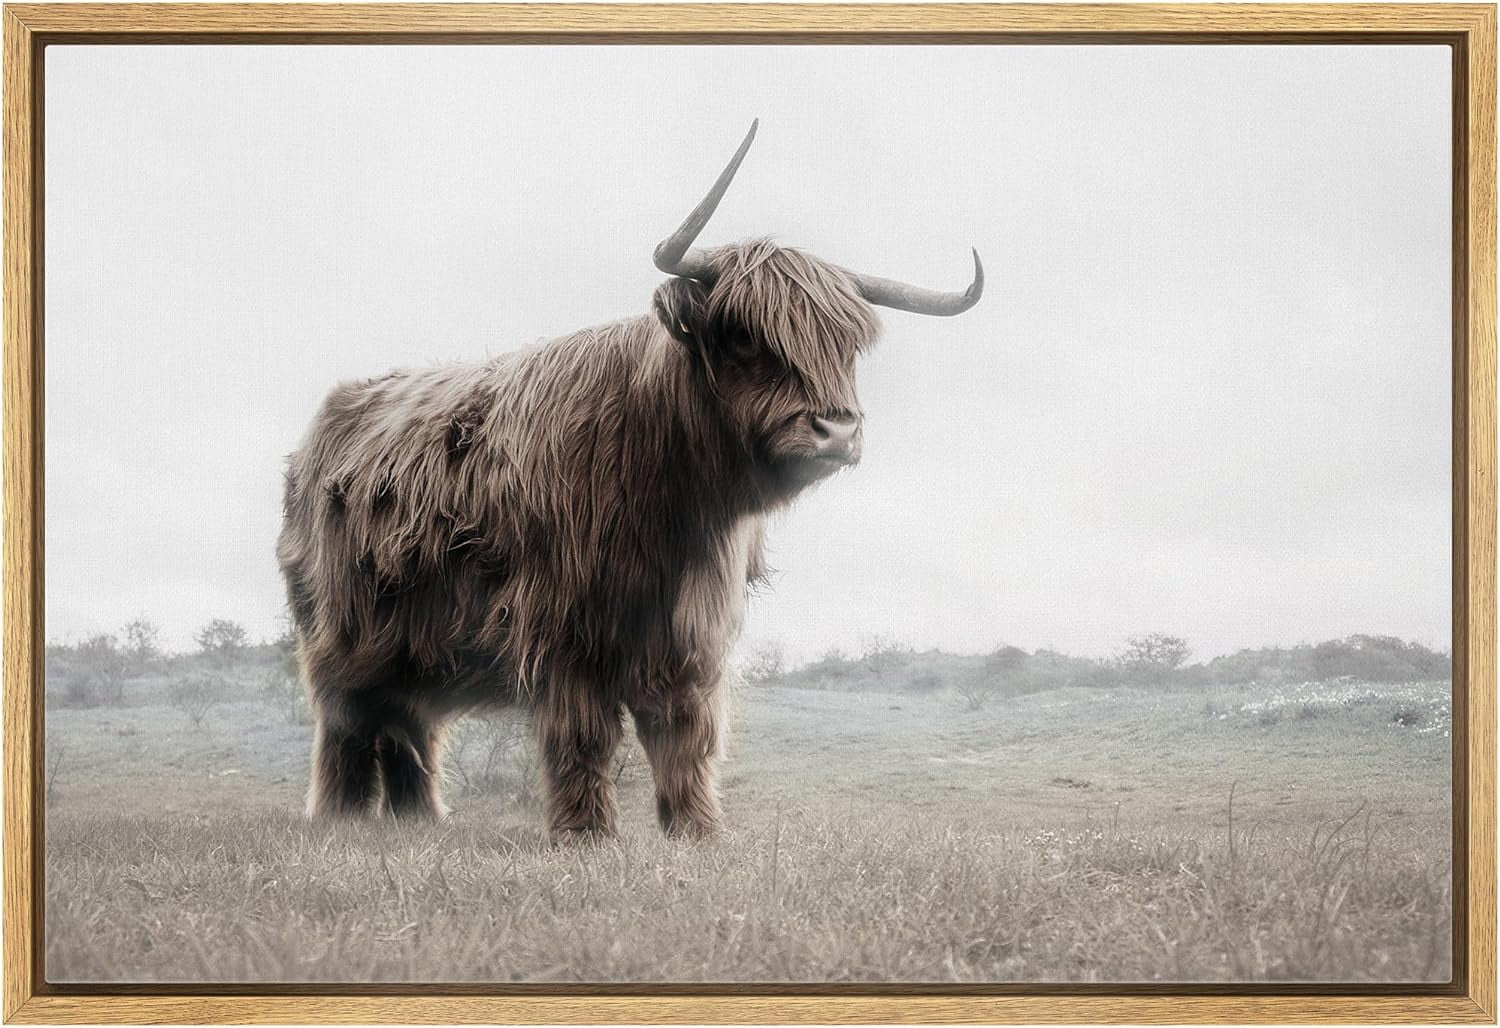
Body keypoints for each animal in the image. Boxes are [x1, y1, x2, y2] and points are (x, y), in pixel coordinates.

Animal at [276, 121, 984, 839]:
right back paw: (341, 819)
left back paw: (418, 820)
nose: (837, 432)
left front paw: (697, 831)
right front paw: (586, 834)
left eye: (847, 346)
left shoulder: (692, 632)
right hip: (339, 636)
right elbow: (583, 734)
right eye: (744, 336)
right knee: (348, 723)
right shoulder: (564, 626)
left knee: (409, 725)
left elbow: (686, 734)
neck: (673, 501)